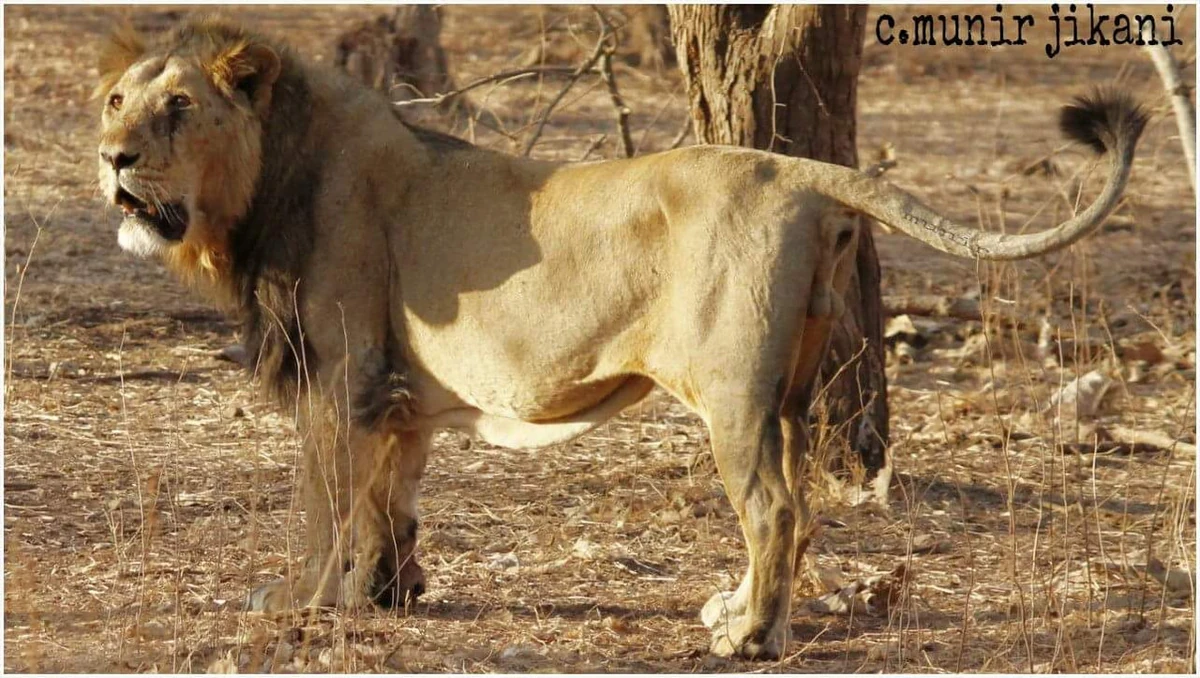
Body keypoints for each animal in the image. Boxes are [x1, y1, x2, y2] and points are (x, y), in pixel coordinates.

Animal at [96, 18, 1144, 660]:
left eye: (178, 107)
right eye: (115, 102)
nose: (112, 160)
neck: (266, 178)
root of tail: (801, 172)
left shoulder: (339, 376)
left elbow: (323, 501)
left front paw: (301, 601)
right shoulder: (394, 392)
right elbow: (392, 500)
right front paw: (387, 593)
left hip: (733, 394)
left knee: (774, 509)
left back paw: (747, 637)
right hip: (794, 390)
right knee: (802, 504)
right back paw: (744, 611)